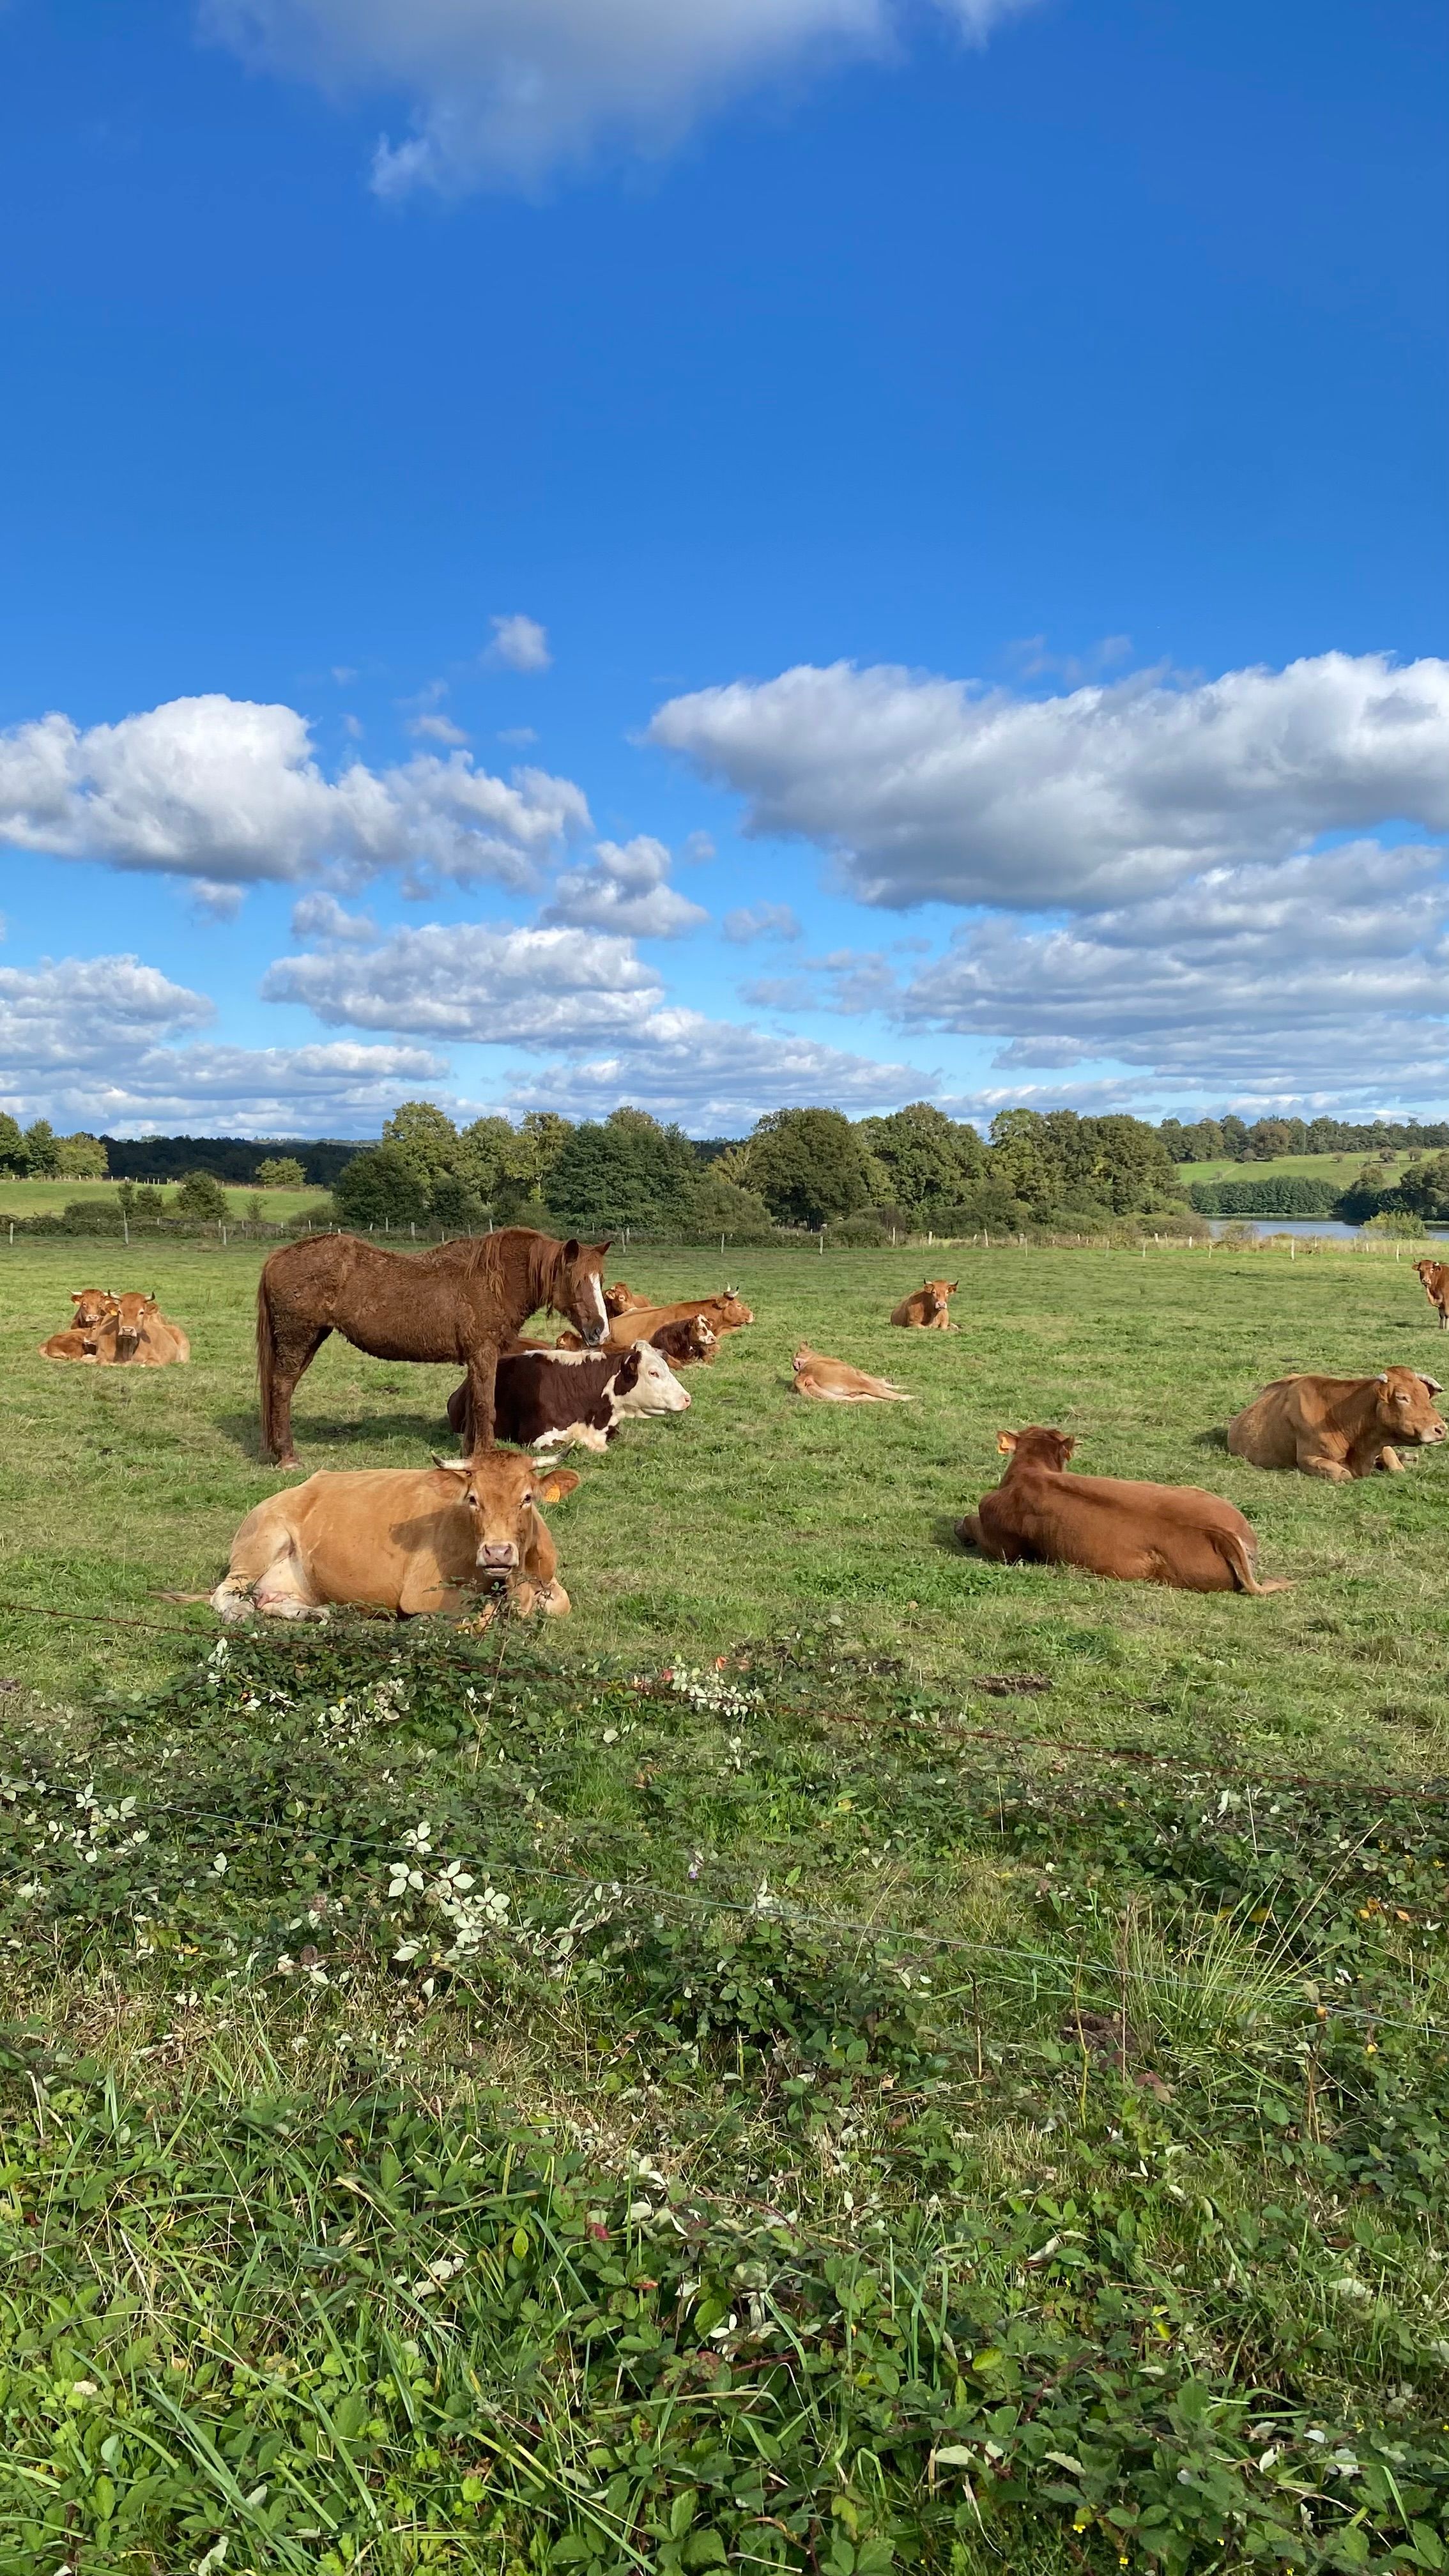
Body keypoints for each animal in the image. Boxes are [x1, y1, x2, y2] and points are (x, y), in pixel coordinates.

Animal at [210, 1453, 580, 1622]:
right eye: (473, 1499)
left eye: (527, 1497)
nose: (497, 1553)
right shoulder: (422, 1593)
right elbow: (481, 1608)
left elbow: (560, 1604)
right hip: (264, 1540)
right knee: (225, 1592)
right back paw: (238, 1611)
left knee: (271, 1600)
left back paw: (312, 1613)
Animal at [791, 1344, 912, 1403]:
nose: (794, 1365)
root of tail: (804, 1375)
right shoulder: (858, 1372)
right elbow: (878, 1382)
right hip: (856, 1381)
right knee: (884, 1392)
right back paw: (911, 1396)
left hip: (839, 1396)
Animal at [1227, 1367, 1446, 1482]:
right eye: (1402, 1397)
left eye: (1426, 1395)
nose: (1441, 1429)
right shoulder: (1308, 1458)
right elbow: (1344, 1474)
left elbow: (1396, 1466)